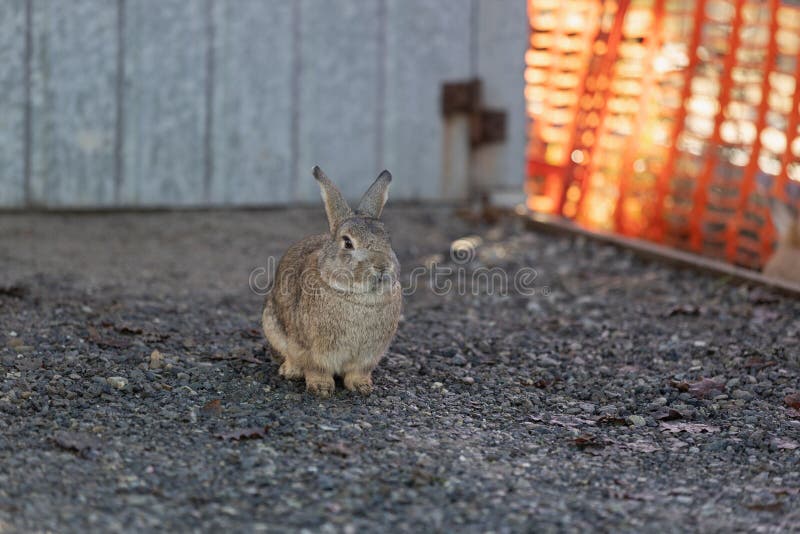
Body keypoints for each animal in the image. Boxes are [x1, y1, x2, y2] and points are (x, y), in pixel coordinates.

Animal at [262, 166, 402, 397]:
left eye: (388, 240)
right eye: (348, 243)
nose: (382, 267)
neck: (358, 295)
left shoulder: (367, 357)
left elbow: (358, 372)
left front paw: (362, 387)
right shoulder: (311, 350)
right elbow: (316, 369)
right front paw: (321, 389)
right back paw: (291, 371)